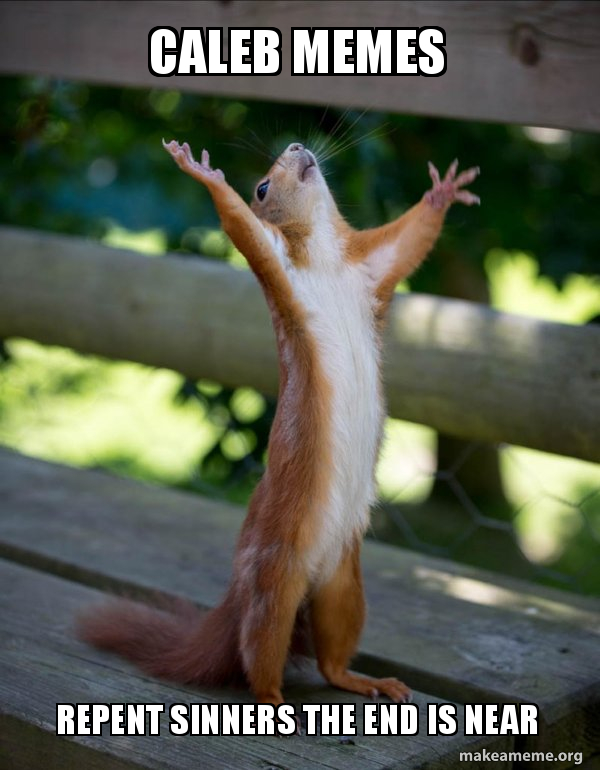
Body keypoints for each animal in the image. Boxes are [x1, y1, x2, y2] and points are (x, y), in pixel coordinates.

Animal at [78, 138, 479, 707]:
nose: (296, 146)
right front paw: (203, 173)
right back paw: (275, 700)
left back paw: (365, 680)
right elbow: (240, 226)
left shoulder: (372, 267)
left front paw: (442, 192)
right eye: (262, 187)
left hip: (344, 586)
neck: (327, 259)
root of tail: (238, 595)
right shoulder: (277, 264)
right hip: (274, 582)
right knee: (258, 655)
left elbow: (410, 240)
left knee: (332, 658)